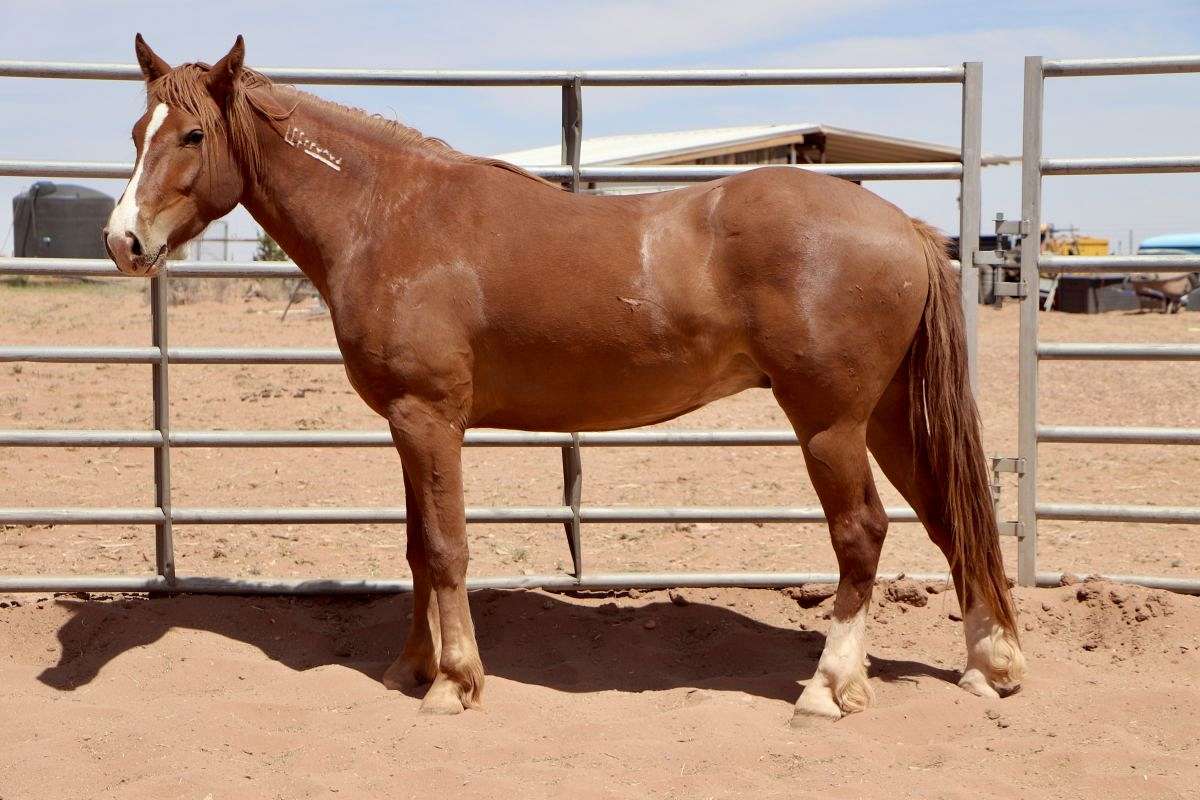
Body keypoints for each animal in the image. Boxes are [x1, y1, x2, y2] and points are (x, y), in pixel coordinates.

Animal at [103, 35, 1025, 723]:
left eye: (191, 136)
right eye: (135, 131)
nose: (123, 241)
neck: (391, 217)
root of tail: (904, 225)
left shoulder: (429, 418)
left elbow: (446, 547)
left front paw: (455, 682)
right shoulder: (407, 423)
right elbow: (417, 548)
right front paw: (412, 666)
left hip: (830, 424)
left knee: (862, 534)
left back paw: (830, 689)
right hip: (888, 417)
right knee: (949, 518)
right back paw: (990, 665)